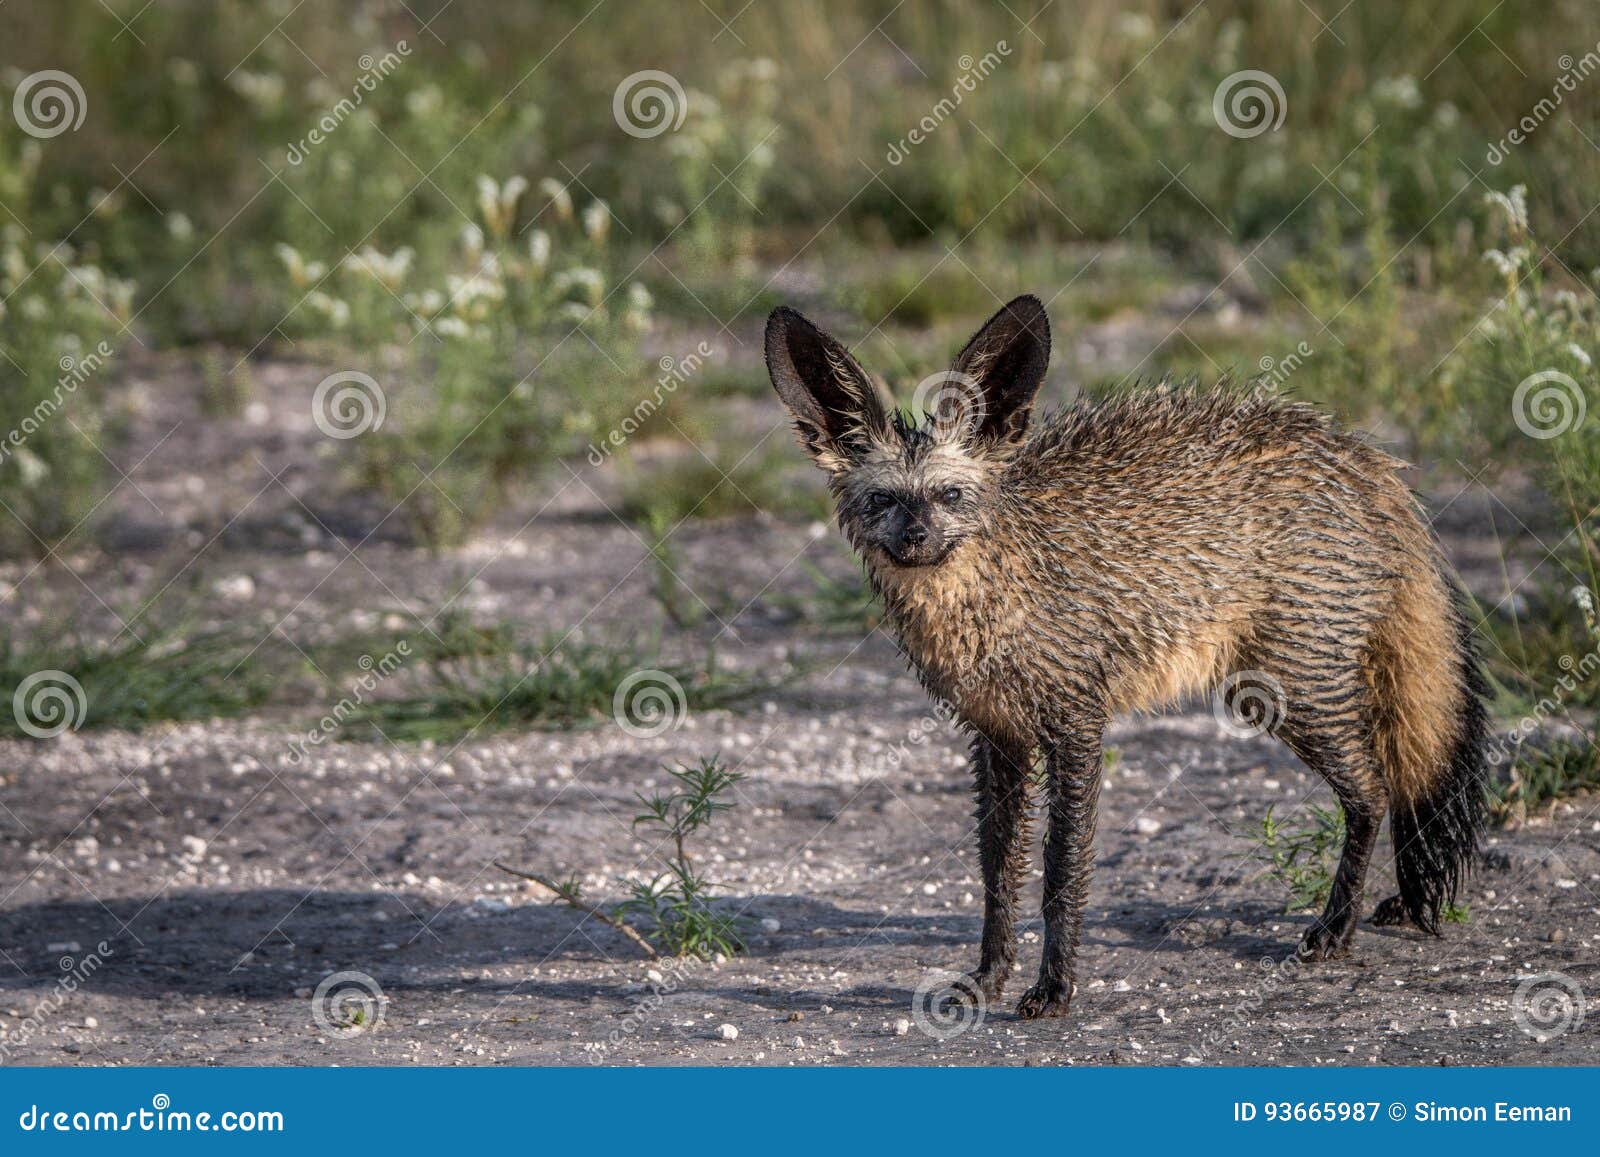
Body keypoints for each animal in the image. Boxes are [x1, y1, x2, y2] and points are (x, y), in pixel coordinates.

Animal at [763, 294, 1489, 1019]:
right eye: (883, 499)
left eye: (950, 495)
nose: (916, 539)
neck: (992, 608)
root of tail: (1366, 459)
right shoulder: (996, 732)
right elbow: (997, 867)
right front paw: (989, 977)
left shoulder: (1078, 722)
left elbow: (1064, 865)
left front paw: (1054, 987)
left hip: (1288, 686)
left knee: (1374, 786)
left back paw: (1335, 929)